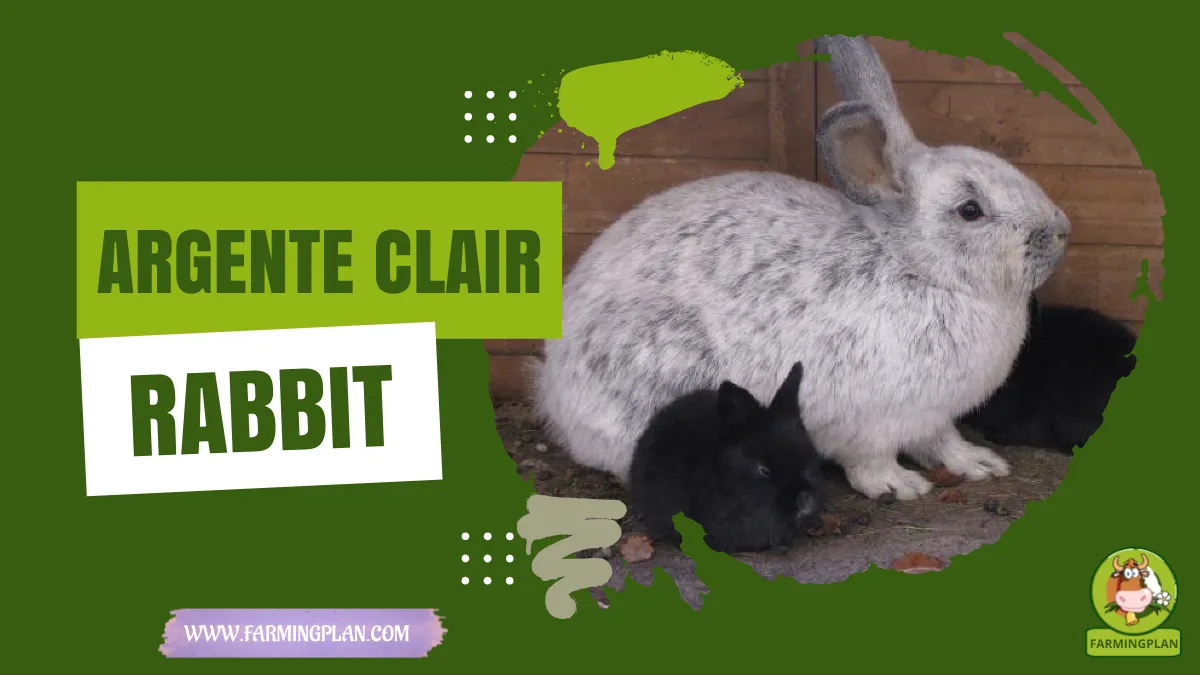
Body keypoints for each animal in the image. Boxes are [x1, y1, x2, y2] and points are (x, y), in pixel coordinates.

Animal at [533, 34, 1071, 500]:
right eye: (970, 210)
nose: (1062, 232)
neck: (915, 267)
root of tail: (554, 391)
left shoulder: (932, 415)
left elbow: (942, 442)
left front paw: (980, 464)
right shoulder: (869, 424)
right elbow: (872, 461)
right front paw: (899, 487)